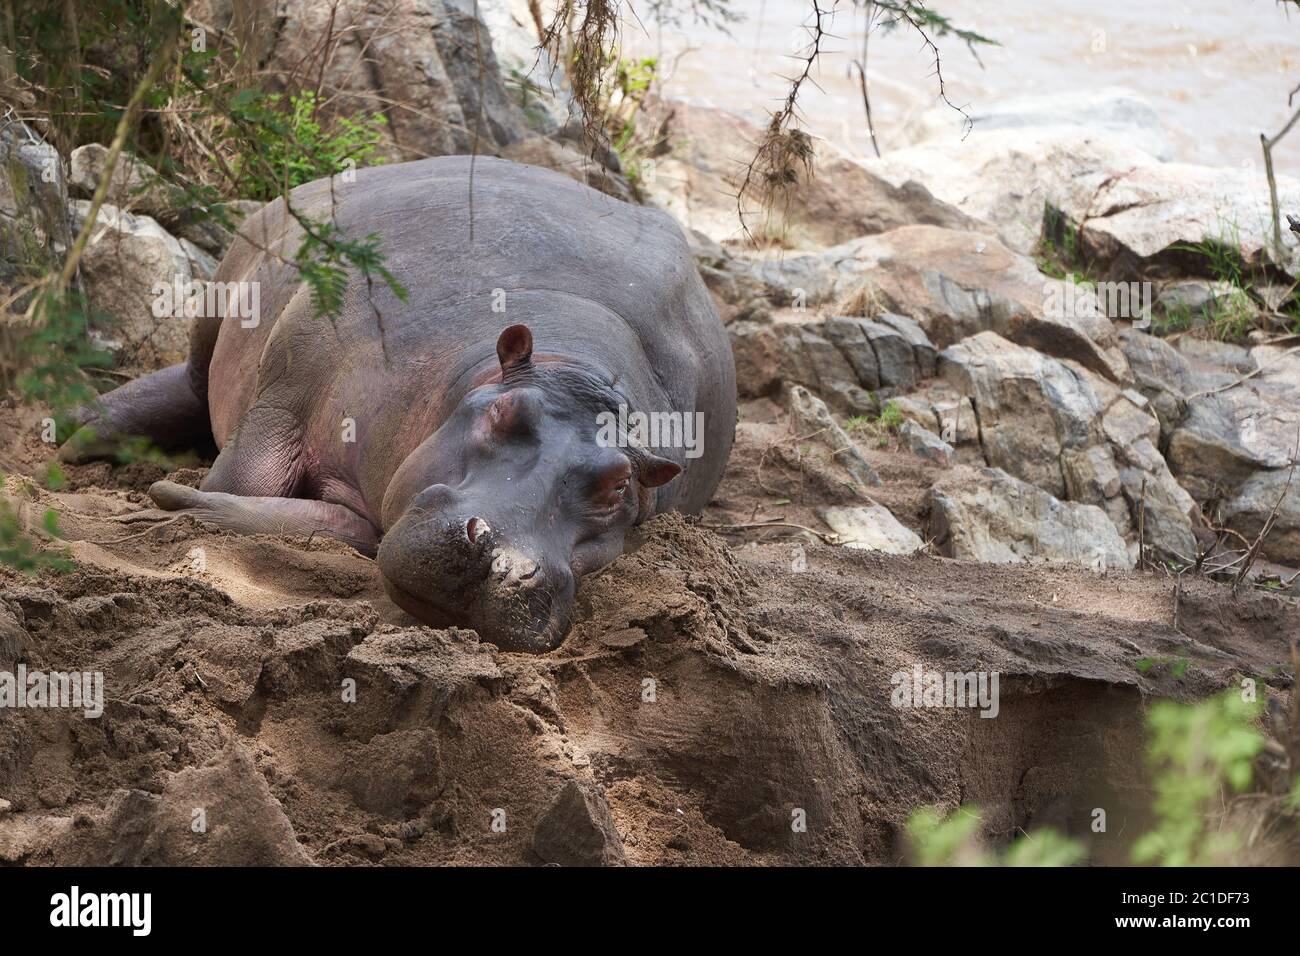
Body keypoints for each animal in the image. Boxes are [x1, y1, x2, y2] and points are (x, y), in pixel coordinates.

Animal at [61, 156, 736, 651]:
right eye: (505, 412)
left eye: (620, 486)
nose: (505, 562)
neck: (575, 368)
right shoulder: (290, 383)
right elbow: (242, 480)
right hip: (225, 294)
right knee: (194, 382)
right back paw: (77, 433)